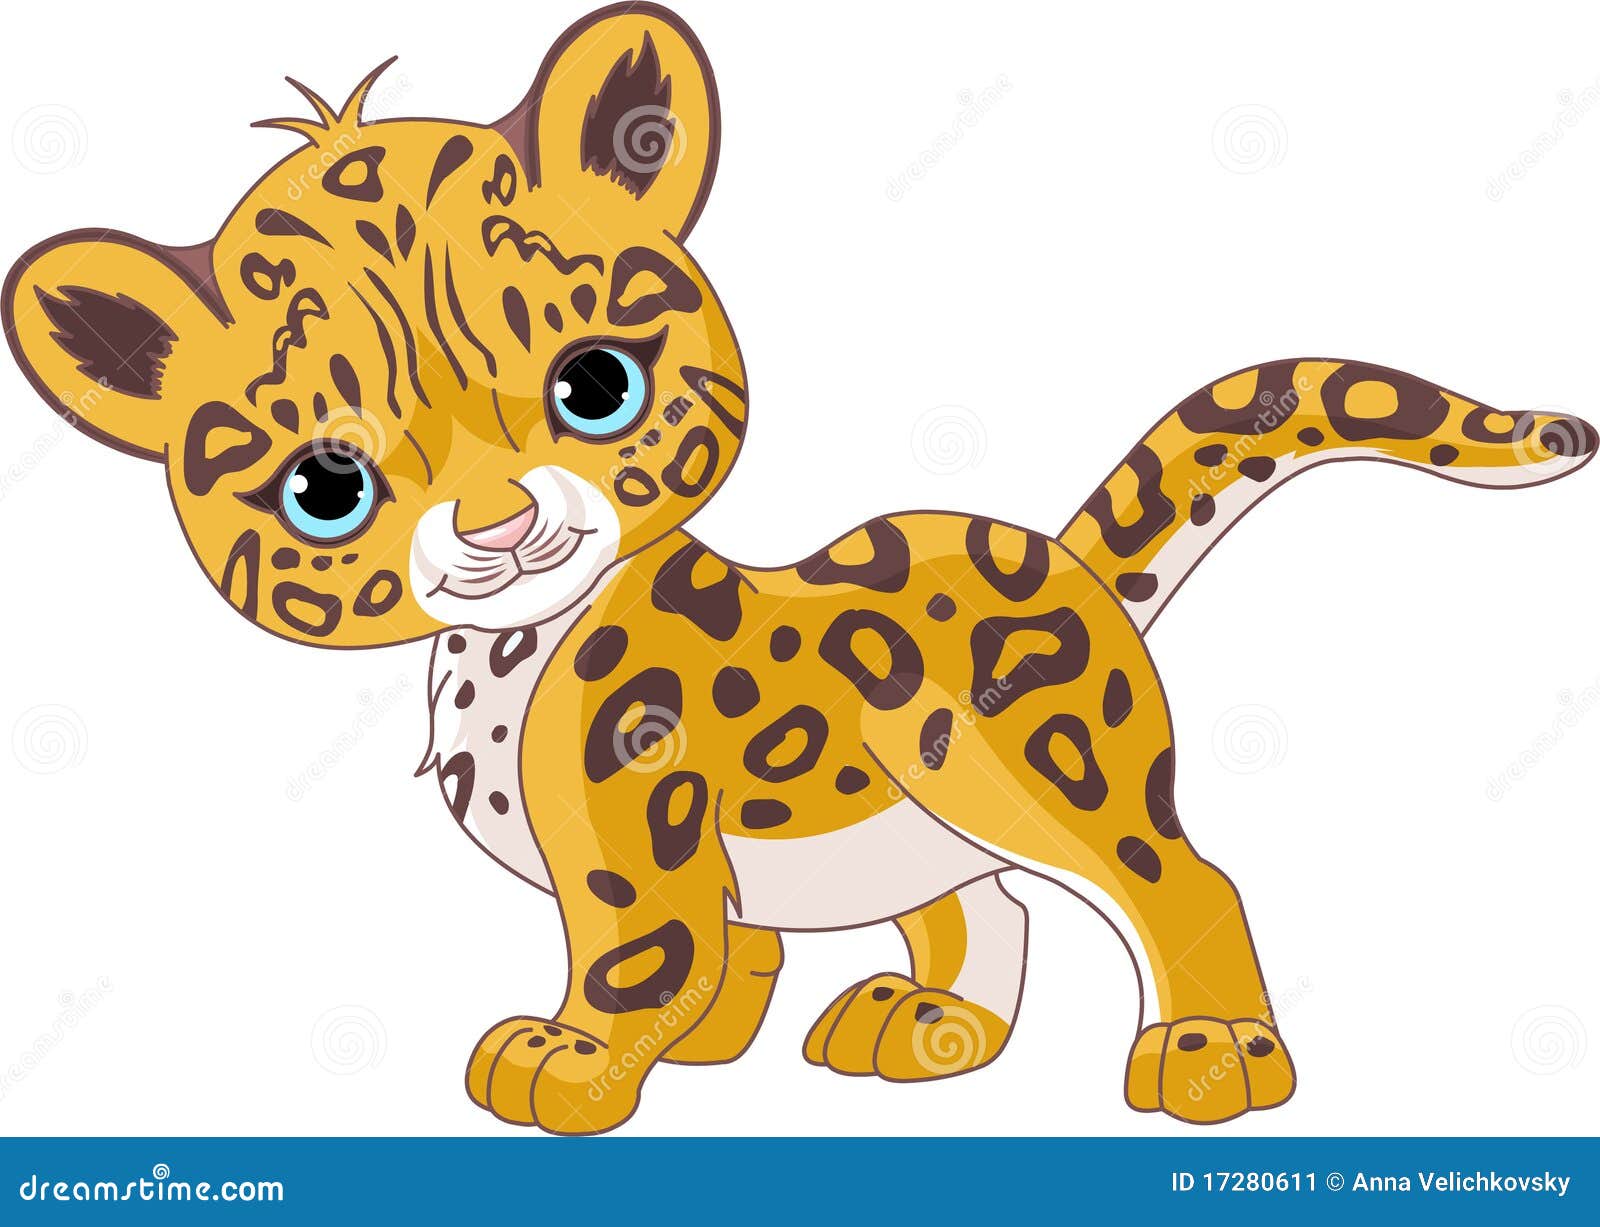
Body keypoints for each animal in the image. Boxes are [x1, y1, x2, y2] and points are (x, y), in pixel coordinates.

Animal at [5, 2, 1594, 1135]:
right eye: (325, 487)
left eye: (595, 386)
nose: (503, 523)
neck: (504, 656)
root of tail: (1061, 558)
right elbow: (720, 949)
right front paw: (712, 1035)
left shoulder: (640, 837)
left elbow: (635, 952)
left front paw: (570, 1065)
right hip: (926, 813)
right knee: (991, 906)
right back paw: (927, 1028)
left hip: (1035, 764)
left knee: (1178, 879)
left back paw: (1210, 1057)